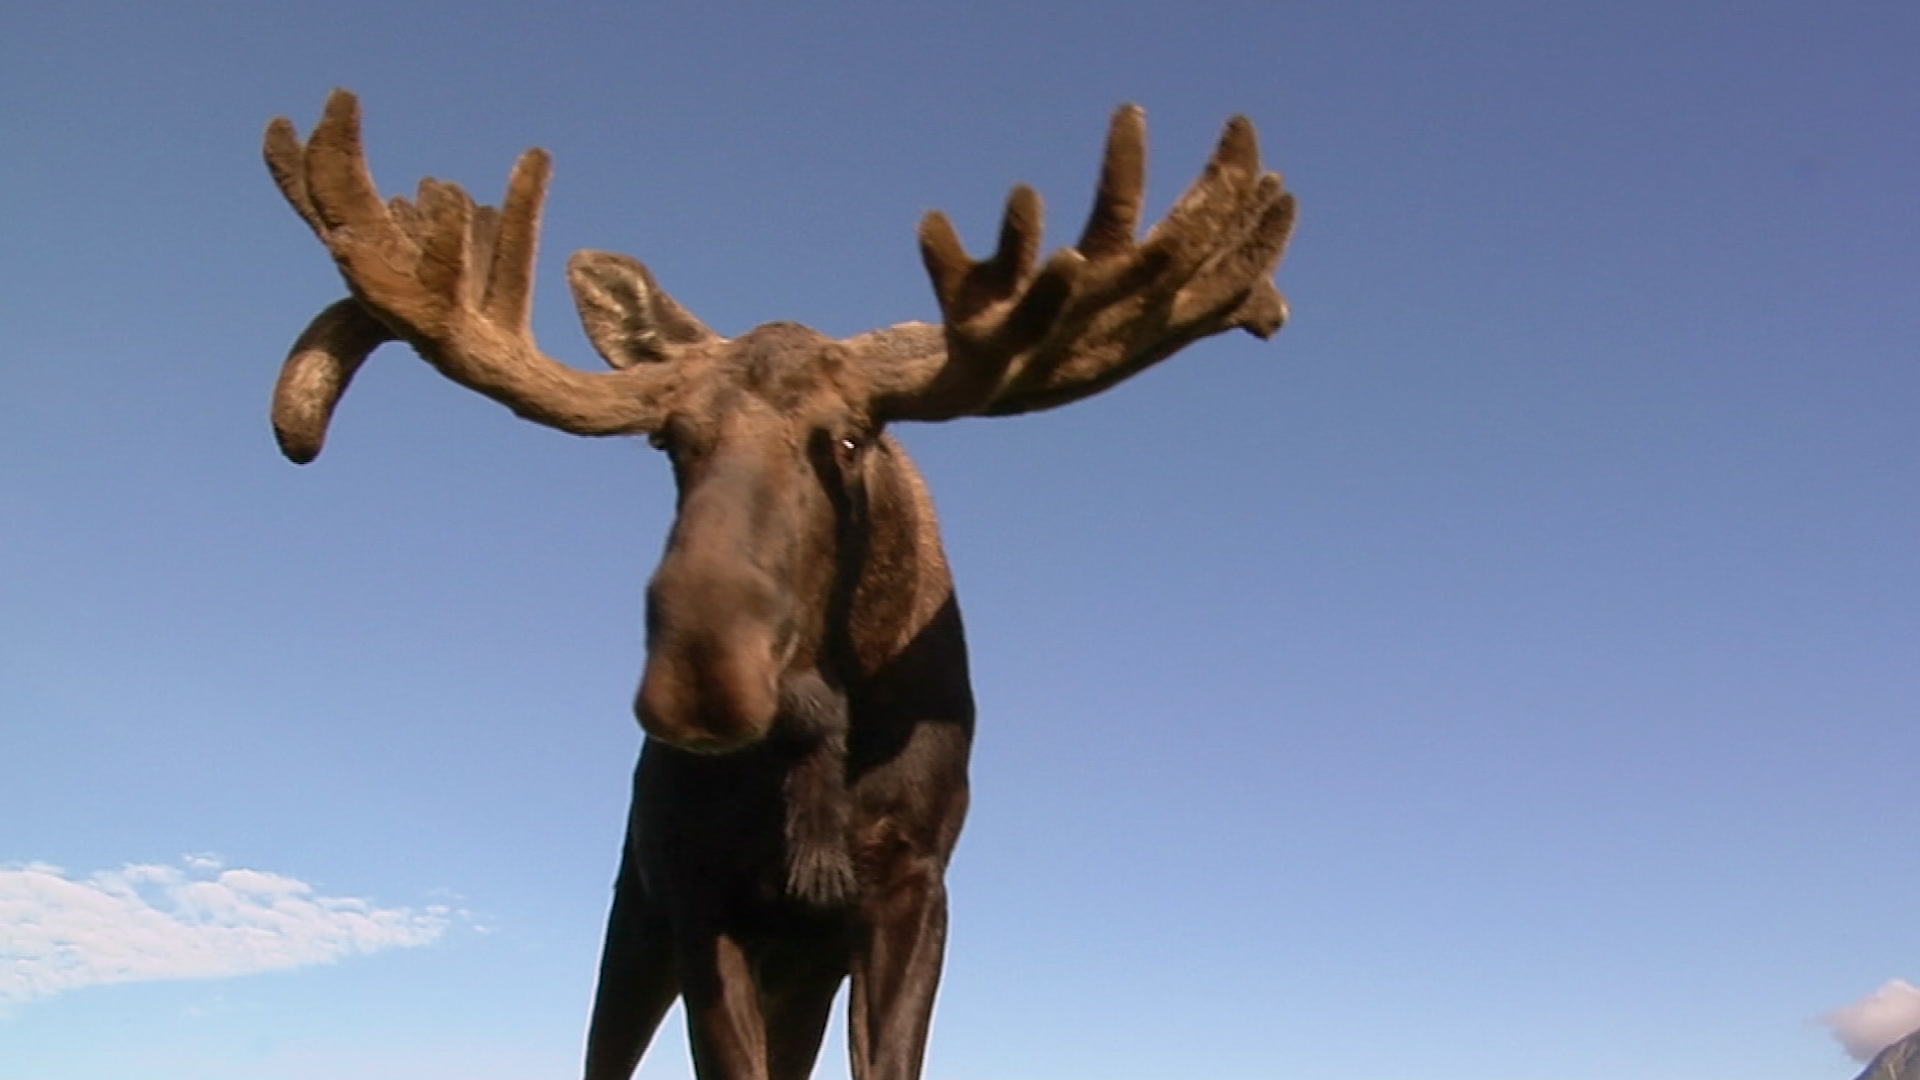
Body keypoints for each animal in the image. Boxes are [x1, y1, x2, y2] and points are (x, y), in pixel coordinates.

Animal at [261, 89, 1296, 1080]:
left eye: (847, 439)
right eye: (671, 442)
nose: (702, 673)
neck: (824, 726)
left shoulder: (913, 891)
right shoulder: (698, 896)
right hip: (640, 928)